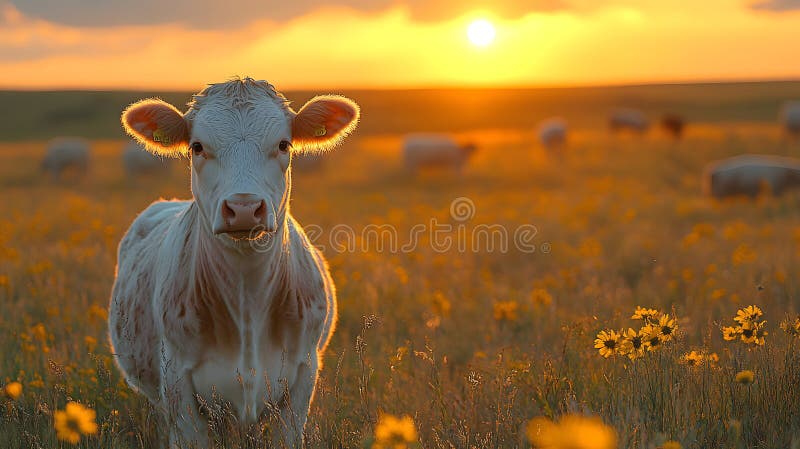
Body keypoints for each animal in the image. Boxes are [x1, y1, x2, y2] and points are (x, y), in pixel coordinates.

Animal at [108, 78, 359, 448]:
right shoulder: (178, 385)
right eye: (197, 147)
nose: (243, 208)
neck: (246, 303)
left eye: (283, 144)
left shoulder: (302, 378)